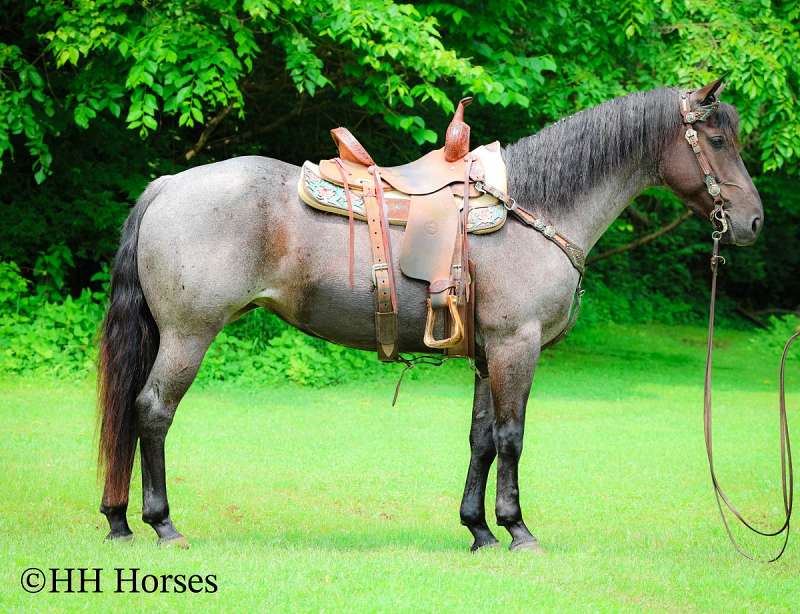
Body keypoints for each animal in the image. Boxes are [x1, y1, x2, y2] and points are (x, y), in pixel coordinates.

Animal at [97, 79, 763, 551]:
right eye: (719, 141)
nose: (753, 222)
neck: (536, 206)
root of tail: (166, 185)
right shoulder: (517, 346)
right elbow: (512, 436)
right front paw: (518, 530)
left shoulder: (489, 353)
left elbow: (481, 439)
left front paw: (479, 529)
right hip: (188, 335)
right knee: (152, 411)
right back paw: (161, 524)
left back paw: (119, 519)